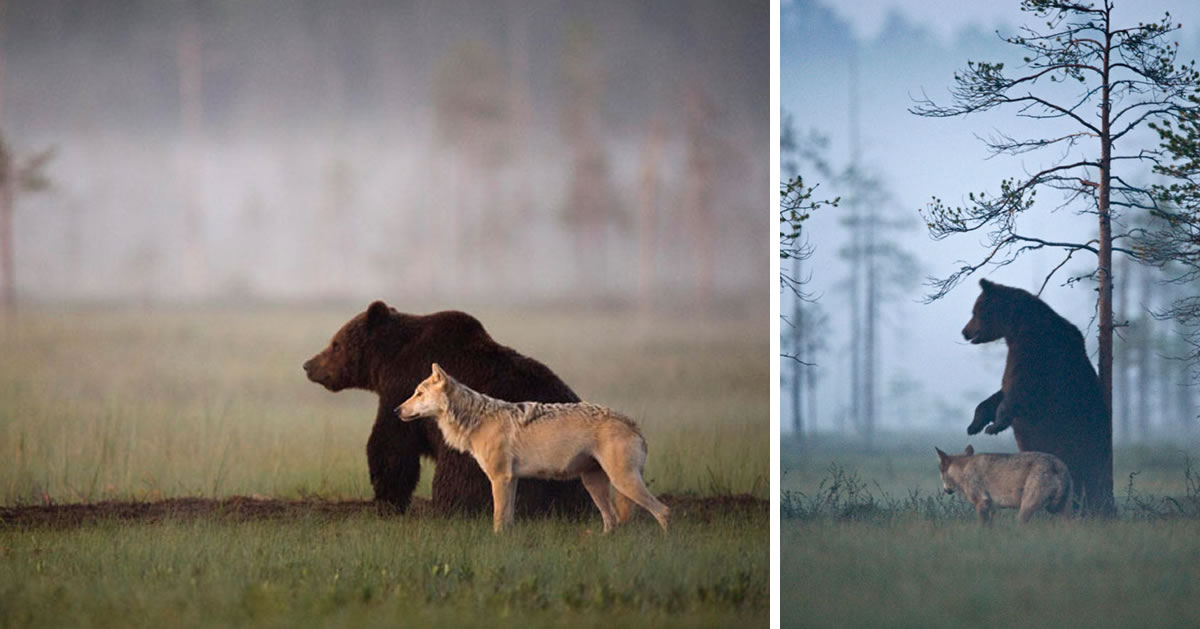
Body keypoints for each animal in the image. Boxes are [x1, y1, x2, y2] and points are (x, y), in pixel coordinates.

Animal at [303, 300, 590, 516]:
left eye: (335, 344)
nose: (308, 364)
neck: (388, 360)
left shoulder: (402, 388)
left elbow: (391, 445)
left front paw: (387, 500)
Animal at [395, 363, 671, 534]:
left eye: (418, 394)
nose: (396, 410)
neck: (476, 420)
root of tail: (632, 423)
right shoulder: (512, 479)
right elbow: (507, 519)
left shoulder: (500, 478)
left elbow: (498, 518)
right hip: (595, 484)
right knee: (612, 521)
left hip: (623, 482)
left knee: (663, 511)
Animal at [936, 445, 1073, 524]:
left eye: (940, 473)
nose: (945, 490)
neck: (964, 469)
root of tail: (1057, 464)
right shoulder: (992, 507)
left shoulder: (981, 502)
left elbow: (982, 527)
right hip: (1063, 512)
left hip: (1025, 510)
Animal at [961, 279, 1113, 514]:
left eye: (975, 311)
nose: (965, 331)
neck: (1018, 326)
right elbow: (999, 393)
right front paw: (975, 424)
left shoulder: (1036, 352)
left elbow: (1019, 390)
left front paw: (995, 425)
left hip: (1078, 442)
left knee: (1083, 474)